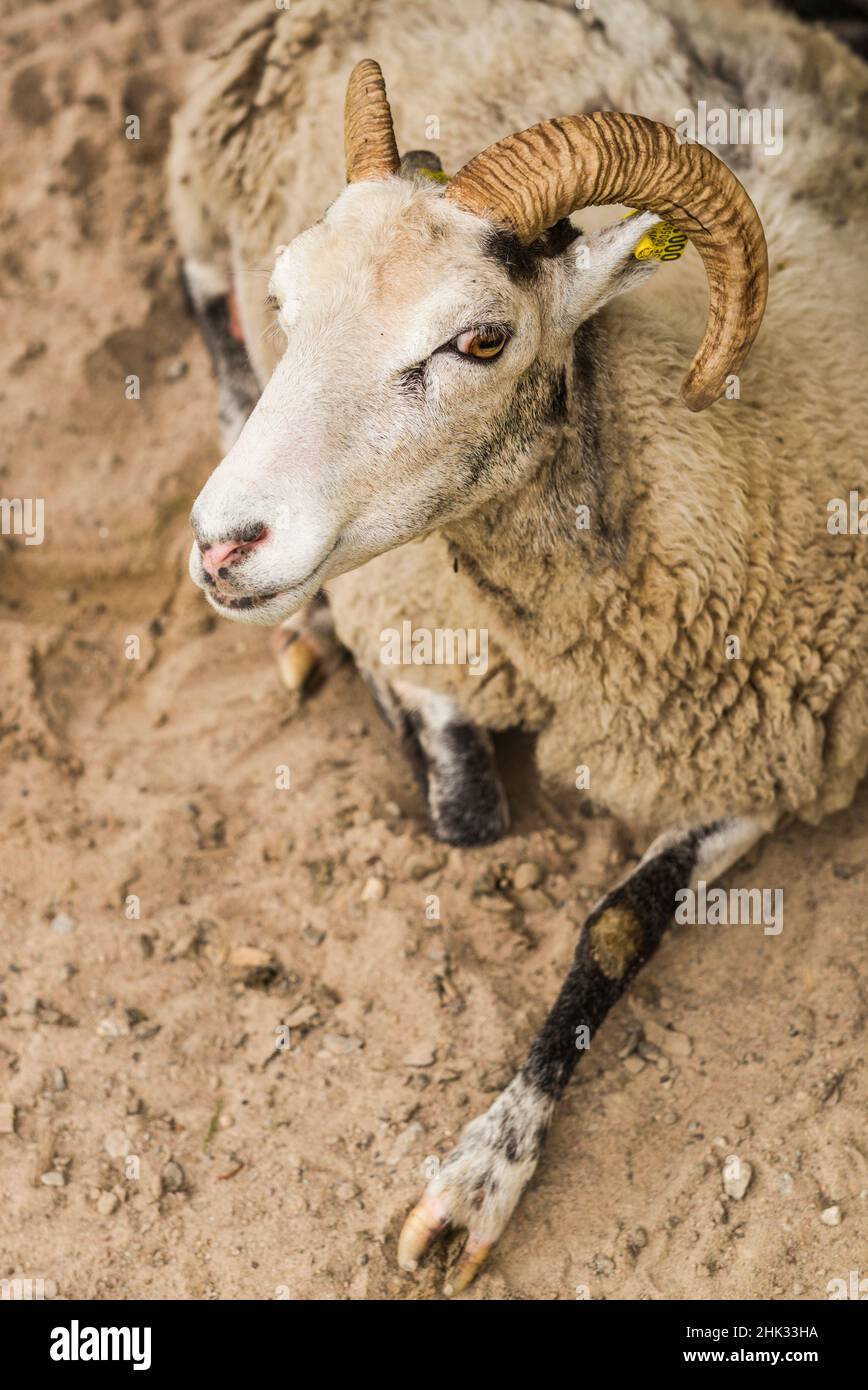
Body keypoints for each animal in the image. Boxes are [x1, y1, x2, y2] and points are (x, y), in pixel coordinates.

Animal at [169, 0, 868, 1292]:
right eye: (286, 298)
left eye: (482, 340)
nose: (222, 543)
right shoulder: (411, 620)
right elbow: (466, 809)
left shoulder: (767, 762)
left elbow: (617, 923)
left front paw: (482, 1173)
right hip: (198, 190)